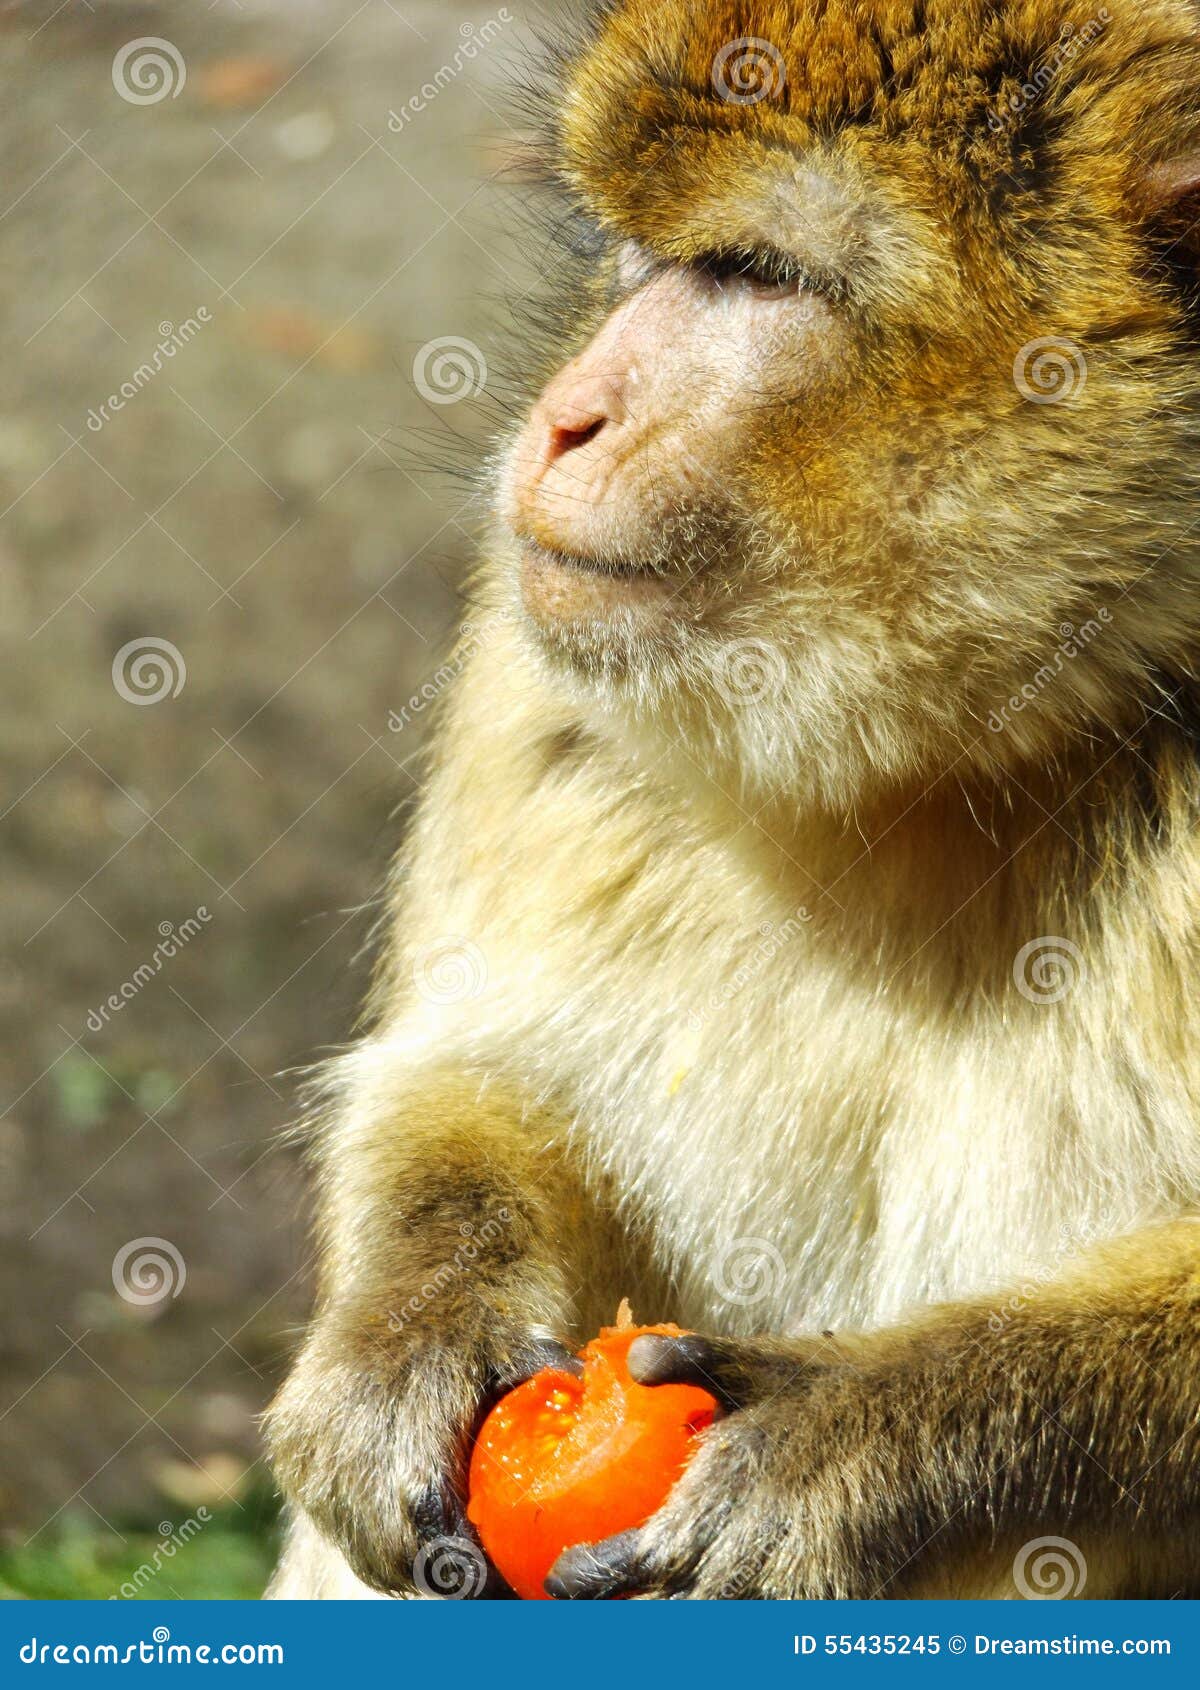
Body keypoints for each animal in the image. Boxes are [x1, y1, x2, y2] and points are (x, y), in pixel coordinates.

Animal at [265, 0, 1200, 1600]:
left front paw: (855, 1433)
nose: (563, 419)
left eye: (754, 273)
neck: (959, 754)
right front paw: (406, 1339)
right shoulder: (541, 684)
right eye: (637, 253)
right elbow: (479, 1066)